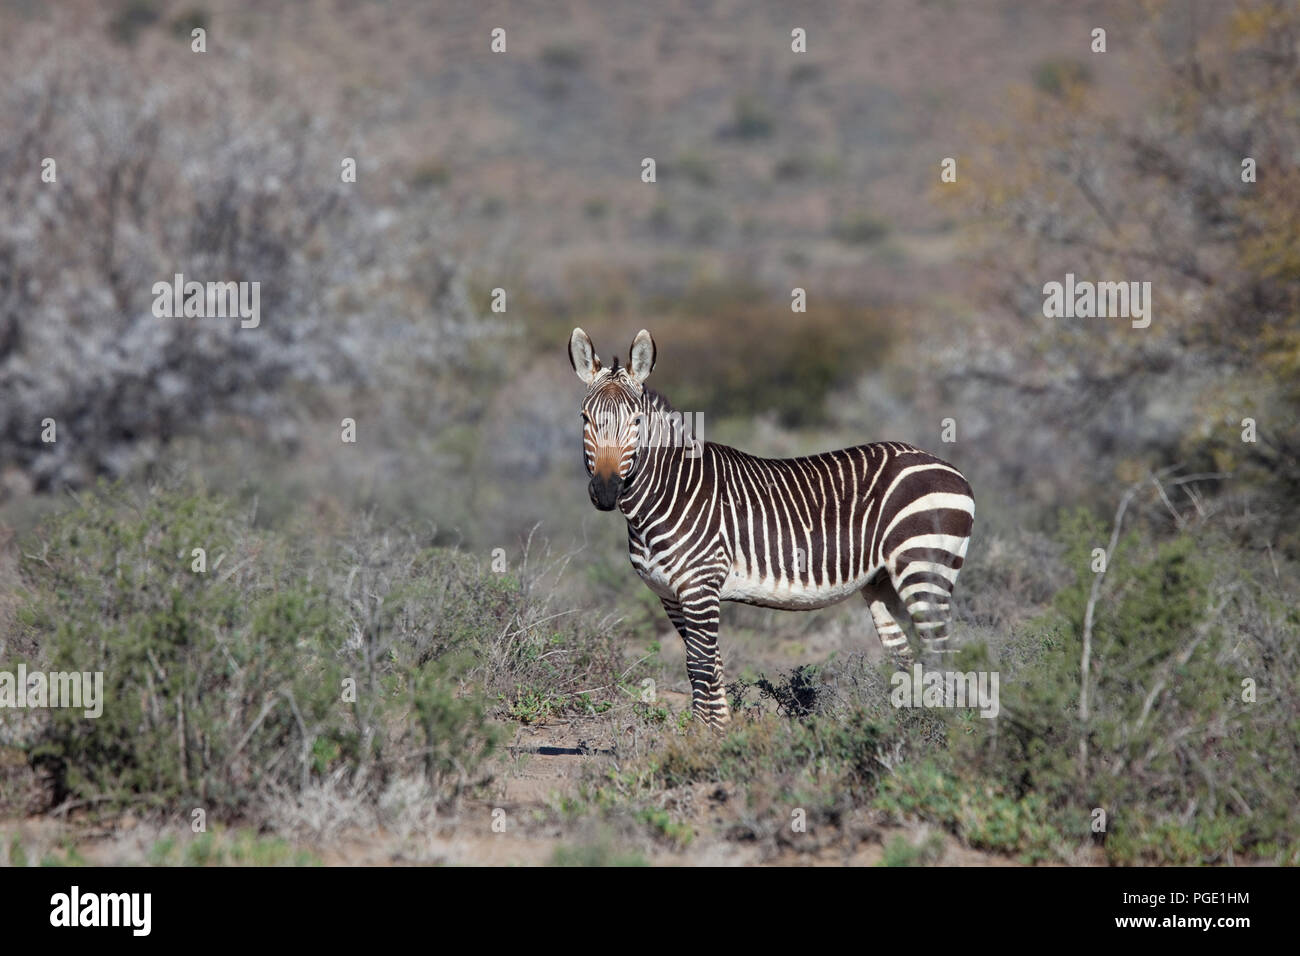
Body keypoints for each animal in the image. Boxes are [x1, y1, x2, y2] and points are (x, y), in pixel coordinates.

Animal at [569, 327, 974, 729]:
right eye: (584, 418)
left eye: (636, 422)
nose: (605, 491)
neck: (667, 495)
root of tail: (948, 466)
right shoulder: (669, 595)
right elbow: (706, 665)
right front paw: (716, 732)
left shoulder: (700, 587)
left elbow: (700, 665)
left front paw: (705, 739)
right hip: (881, 580)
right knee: (902, 654)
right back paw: (902, 728)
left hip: (922, 567)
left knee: (941, 650)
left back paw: (940, 730)